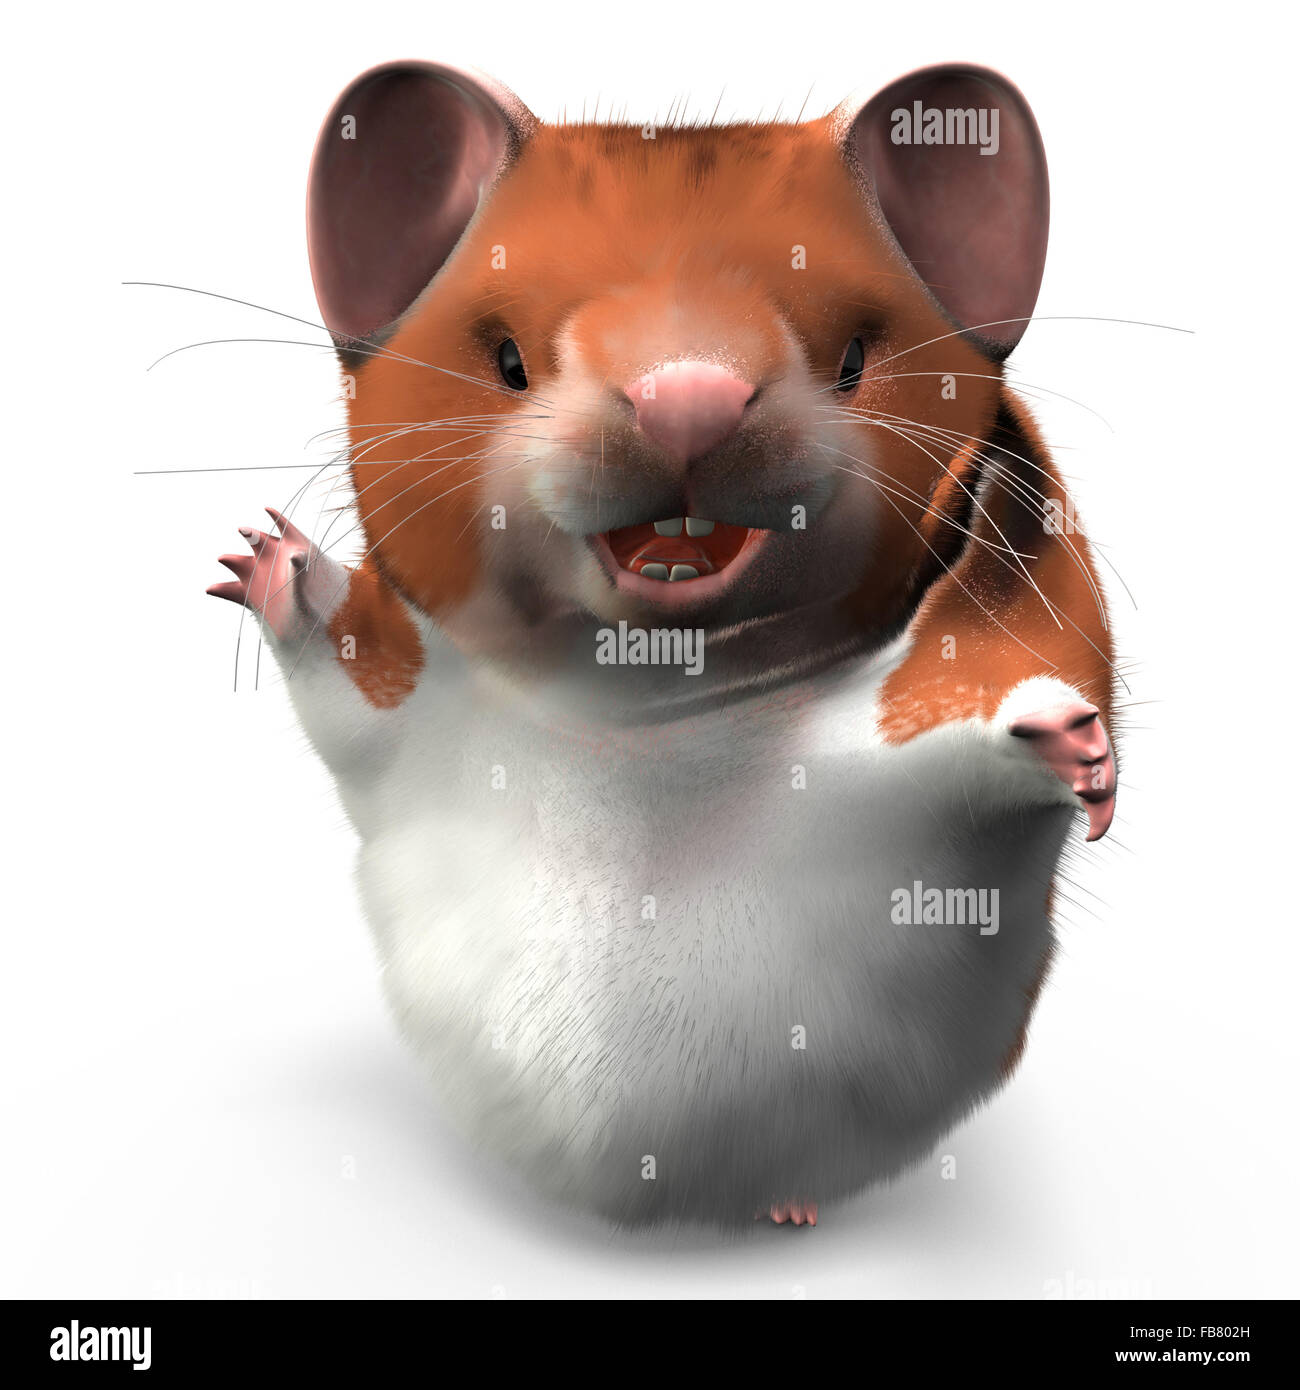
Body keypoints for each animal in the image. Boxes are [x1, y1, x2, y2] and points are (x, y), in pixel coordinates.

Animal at [208, 60, 1118, 1229]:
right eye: (507, 357)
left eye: (854, 357)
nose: (689, 402)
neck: (651, 709)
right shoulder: (422, 719)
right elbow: (352, 685)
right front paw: (272, 563)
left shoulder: (901, 751)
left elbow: (965, 737)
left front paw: (1070, 748)